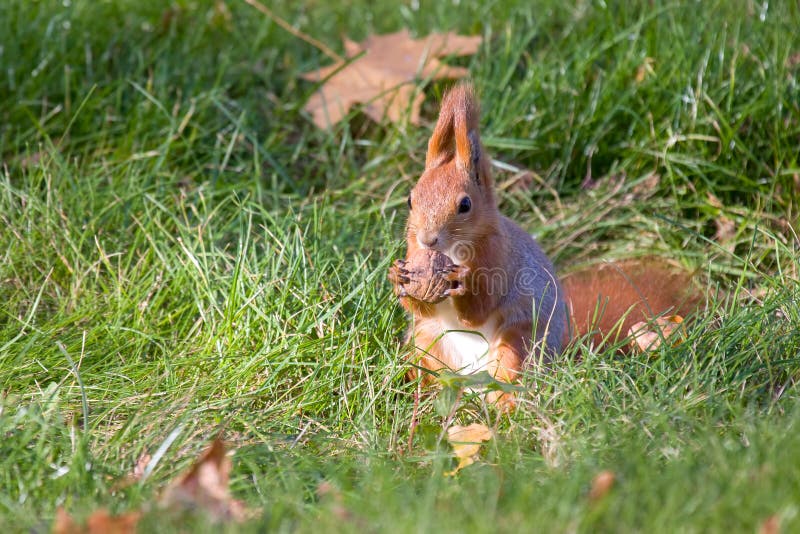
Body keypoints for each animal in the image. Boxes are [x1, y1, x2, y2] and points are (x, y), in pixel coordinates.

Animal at [388, 82, 698, 404]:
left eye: (465, 205)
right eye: (410, 199)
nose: (428, 239)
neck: (450, 251)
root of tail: (470, 385)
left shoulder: (498, 257)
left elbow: (480, 308)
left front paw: (460, 281)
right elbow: (421, 308)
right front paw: (398, 275)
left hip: (520, 341)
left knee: (510, 379)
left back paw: (502, 407)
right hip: (427, 341)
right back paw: (414, 388)